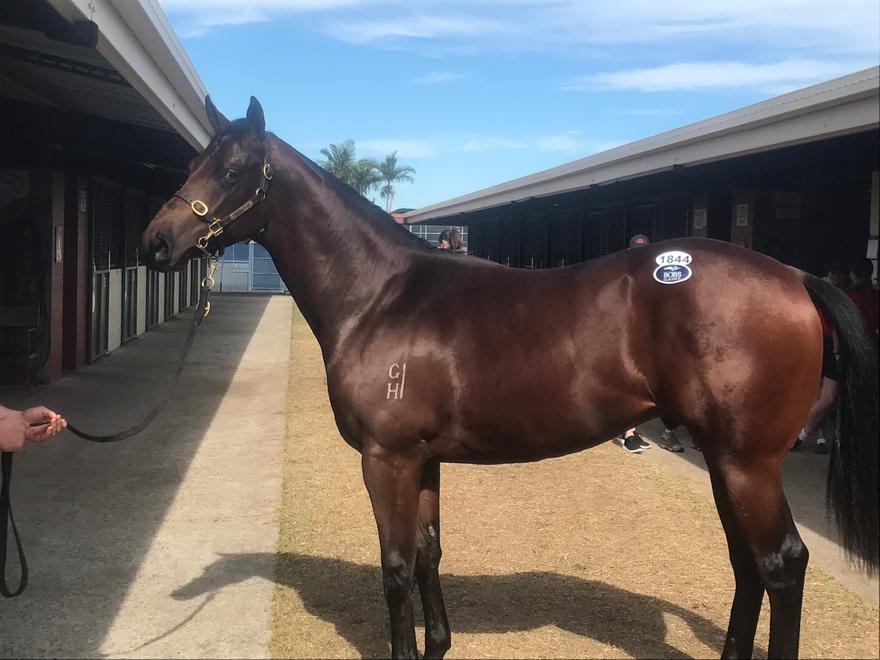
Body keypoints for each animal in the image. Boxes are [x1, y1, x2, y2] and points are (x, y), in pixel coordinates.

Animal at [142, 96, 879, 659]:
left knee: (781, 564)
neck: (379, 295)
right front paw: (438, 644)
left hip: (748, 461)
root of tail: (795, 277)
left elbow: (396, 567)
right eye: (193, 162)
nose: (156, 242)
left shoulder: (387, 460)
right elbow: (429, 552)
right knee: (747, 565)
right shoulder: (423, 460)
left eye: (231, 169)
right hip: (726, 459)